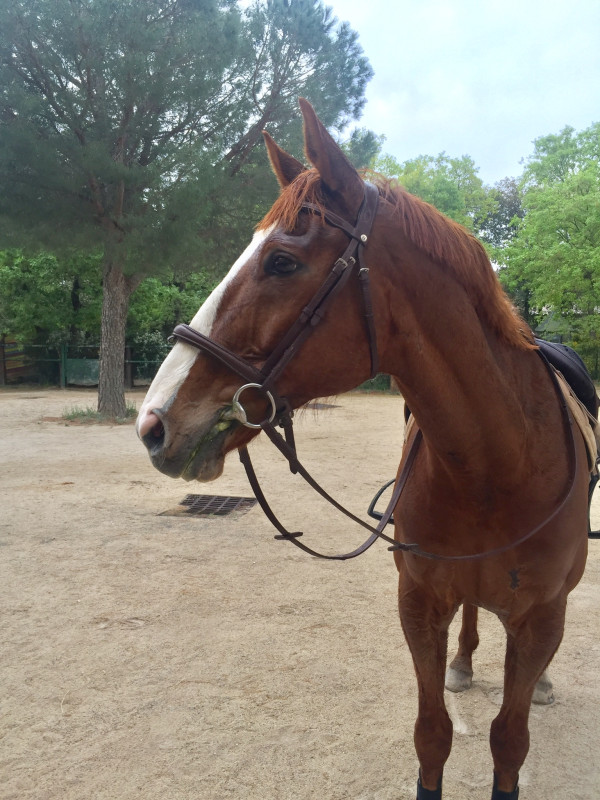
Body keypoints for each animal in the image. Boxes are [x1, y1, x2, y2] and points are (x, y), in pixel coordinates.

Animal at [137, 99, 592, 799]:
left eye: (282, 262)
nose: (153, 423)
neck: (495, 468)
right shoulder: (419, 606)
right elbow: (431, 736)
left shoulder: (540, 617)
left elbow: (508, 743)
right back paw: (465, 663)